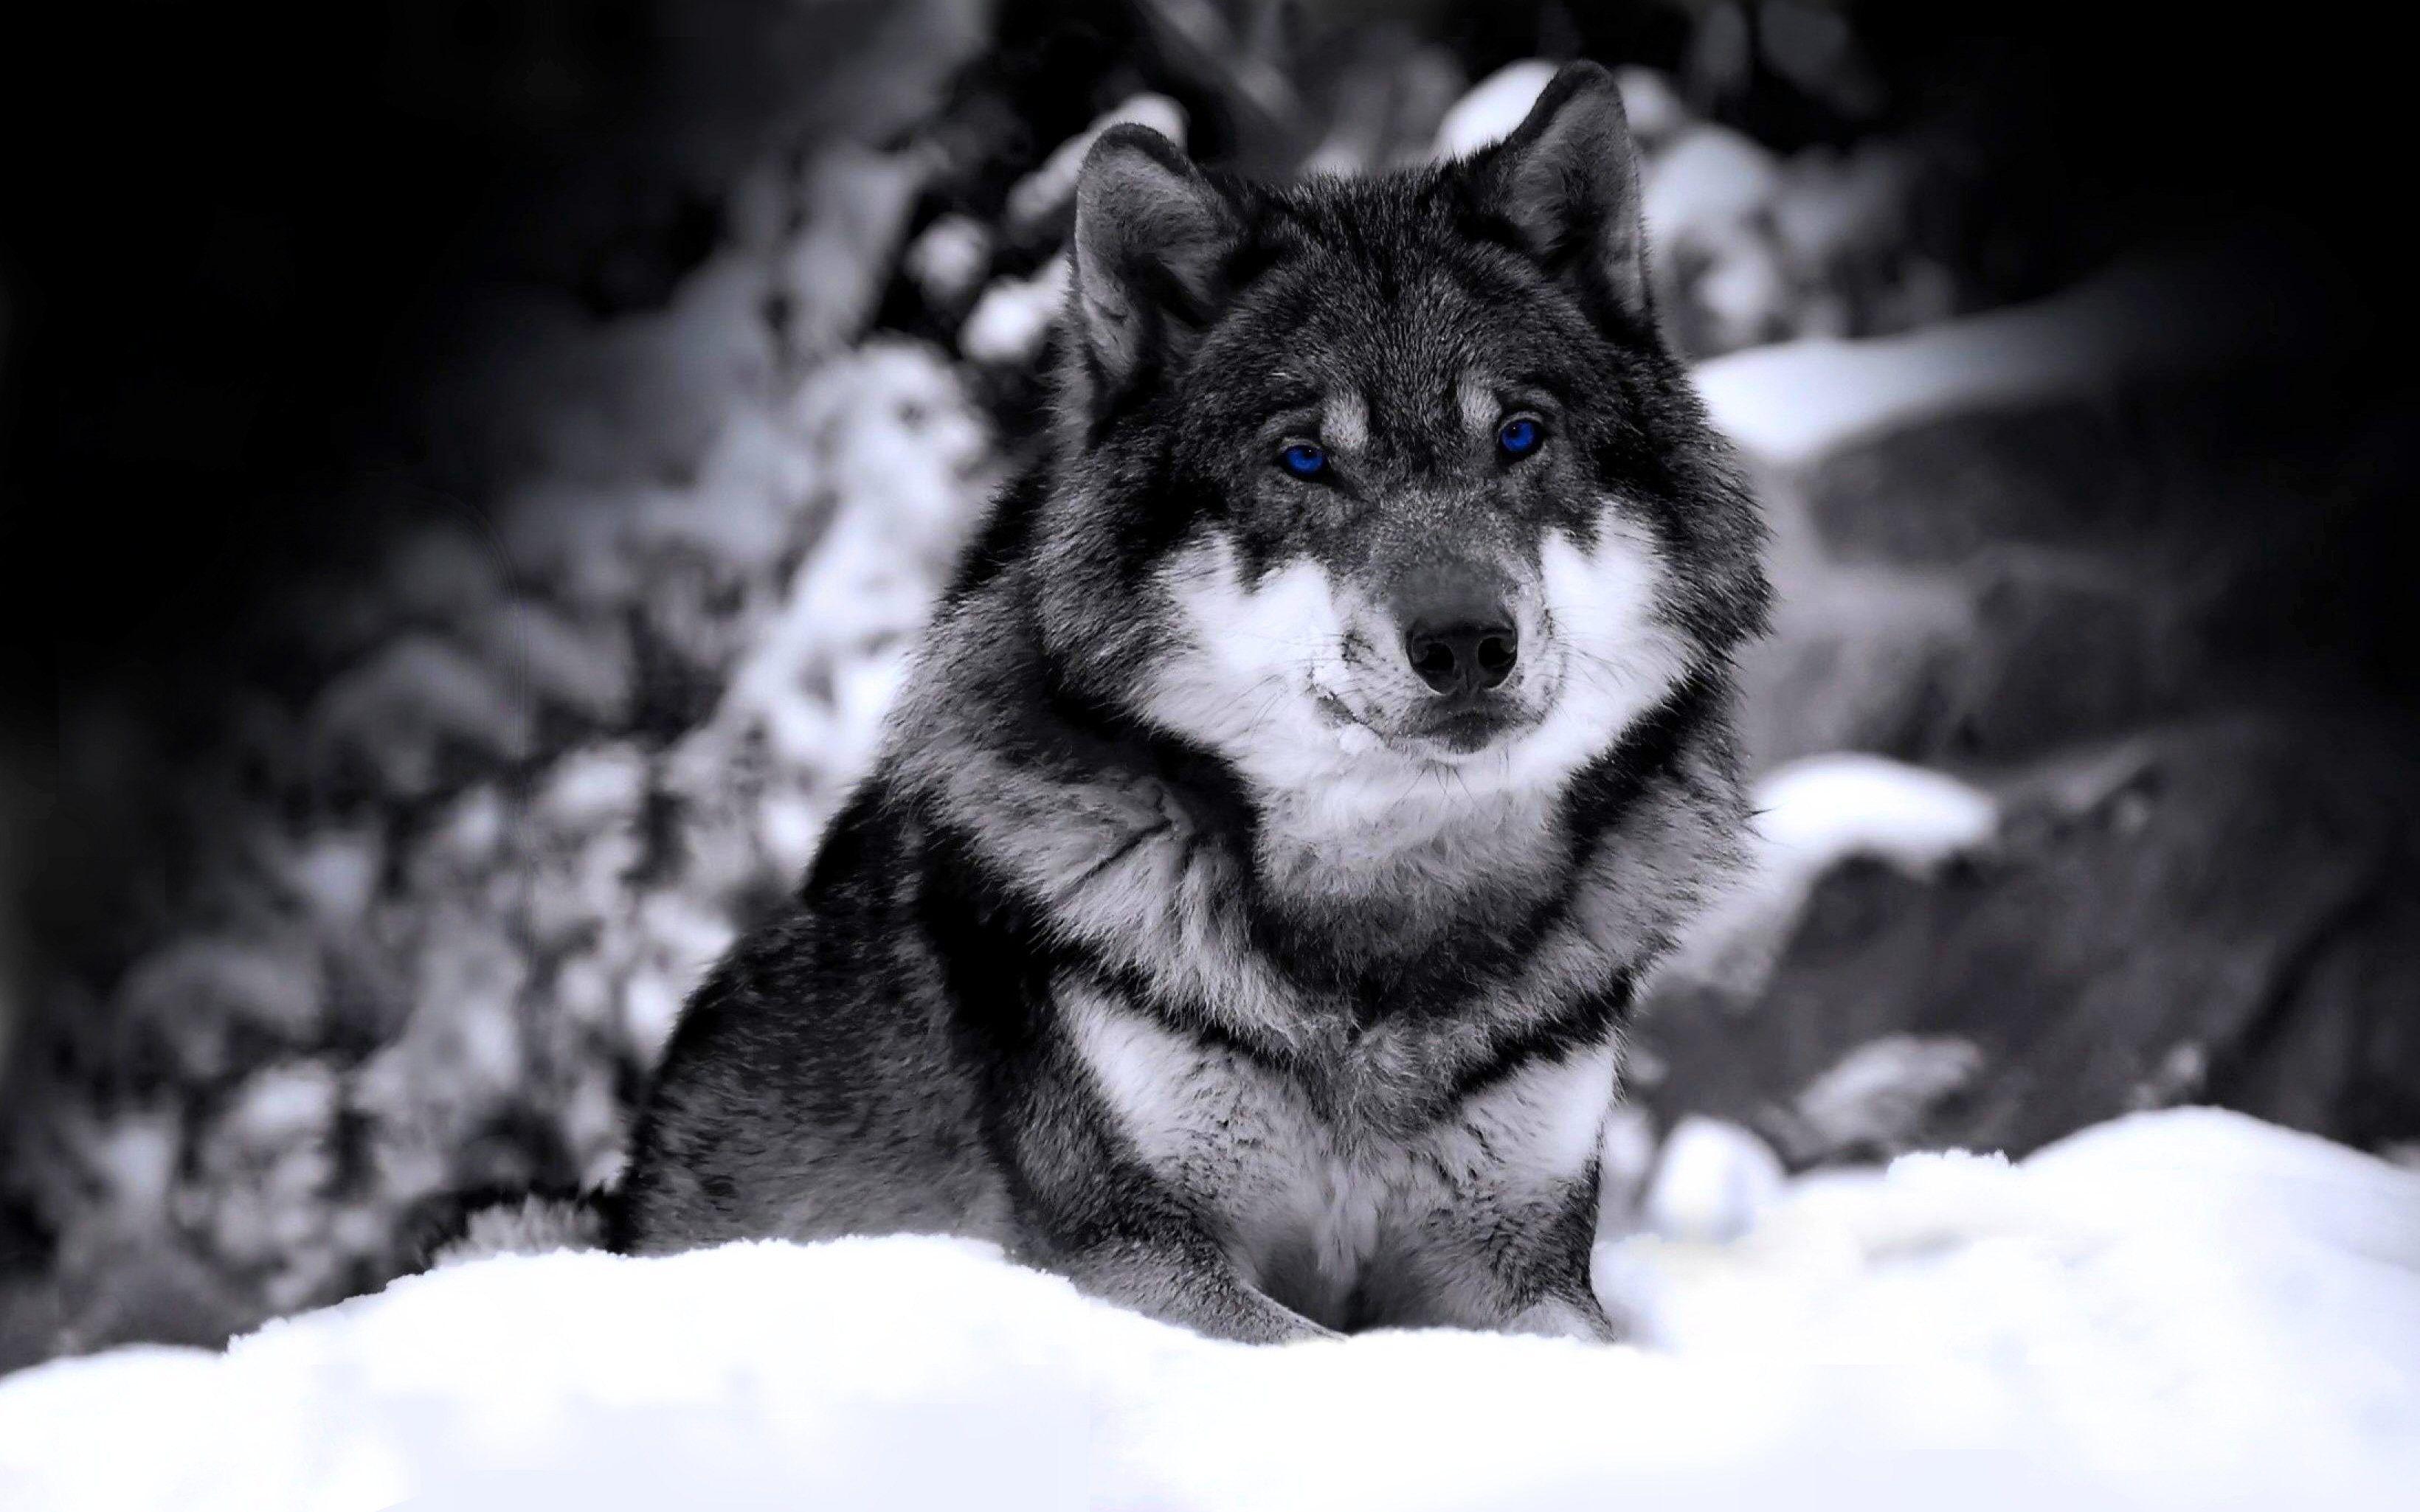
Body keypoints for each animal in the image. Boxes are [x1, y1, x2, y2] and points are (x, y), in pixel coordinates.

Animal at [610, 62, 1769, 1343]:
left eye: (1520, 436)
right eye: (1305, 458)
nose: (1468, 643)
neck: (1381, 943)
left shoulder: (1525, 1262)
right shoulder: (1130, 1252)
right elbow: (1318, 1349)